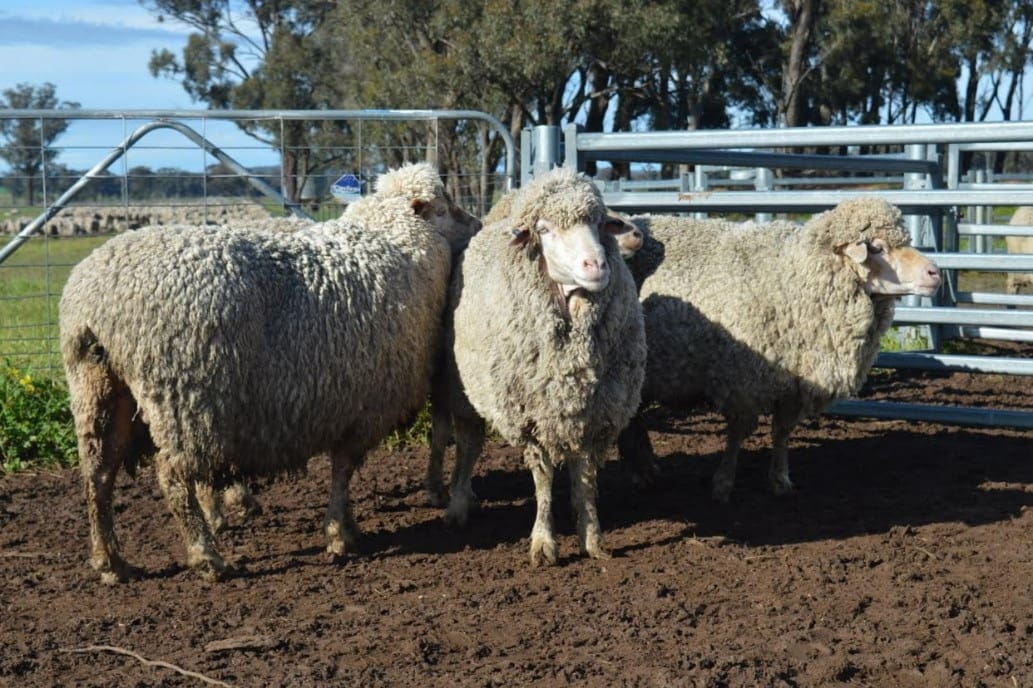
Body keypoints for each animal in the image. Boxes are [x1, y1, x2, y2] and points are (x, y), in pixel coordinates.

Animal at [59, 162, 481, 583]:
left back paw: (110, 561)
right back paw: (206, 555)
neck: (396, 245)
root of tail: (94, 300)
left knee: (97, 474)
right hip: (184, 398)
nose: (477, 224)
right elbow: (343, 471)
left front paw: (345, 528)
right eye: (445, 207)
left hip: (98, 389)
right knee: (173, 478)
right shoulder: (364, 407)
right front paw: (339, 534)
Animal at [441, 167, 647, 566]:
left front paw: (591, 535)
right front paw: (543, 542)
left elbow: (585, 477)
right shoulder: (530, 415)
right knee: (468, 446)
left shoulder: (592, 413)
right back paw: (458, 505)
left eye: (597, 223)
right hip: (461, 391)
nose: (596, 265)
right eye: (545, 229)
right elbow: (542, 479)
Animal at [616, 198, 942, 502]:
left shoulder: (794, 387)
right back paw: (640, 471)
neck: (794, 276)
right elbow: (737, 435)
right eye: (877, 247)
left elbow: (781, 433)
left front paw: (780, 480)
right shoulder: (742, 382)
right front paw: (723, 484)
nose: (935, 273)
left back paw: (643, 468)